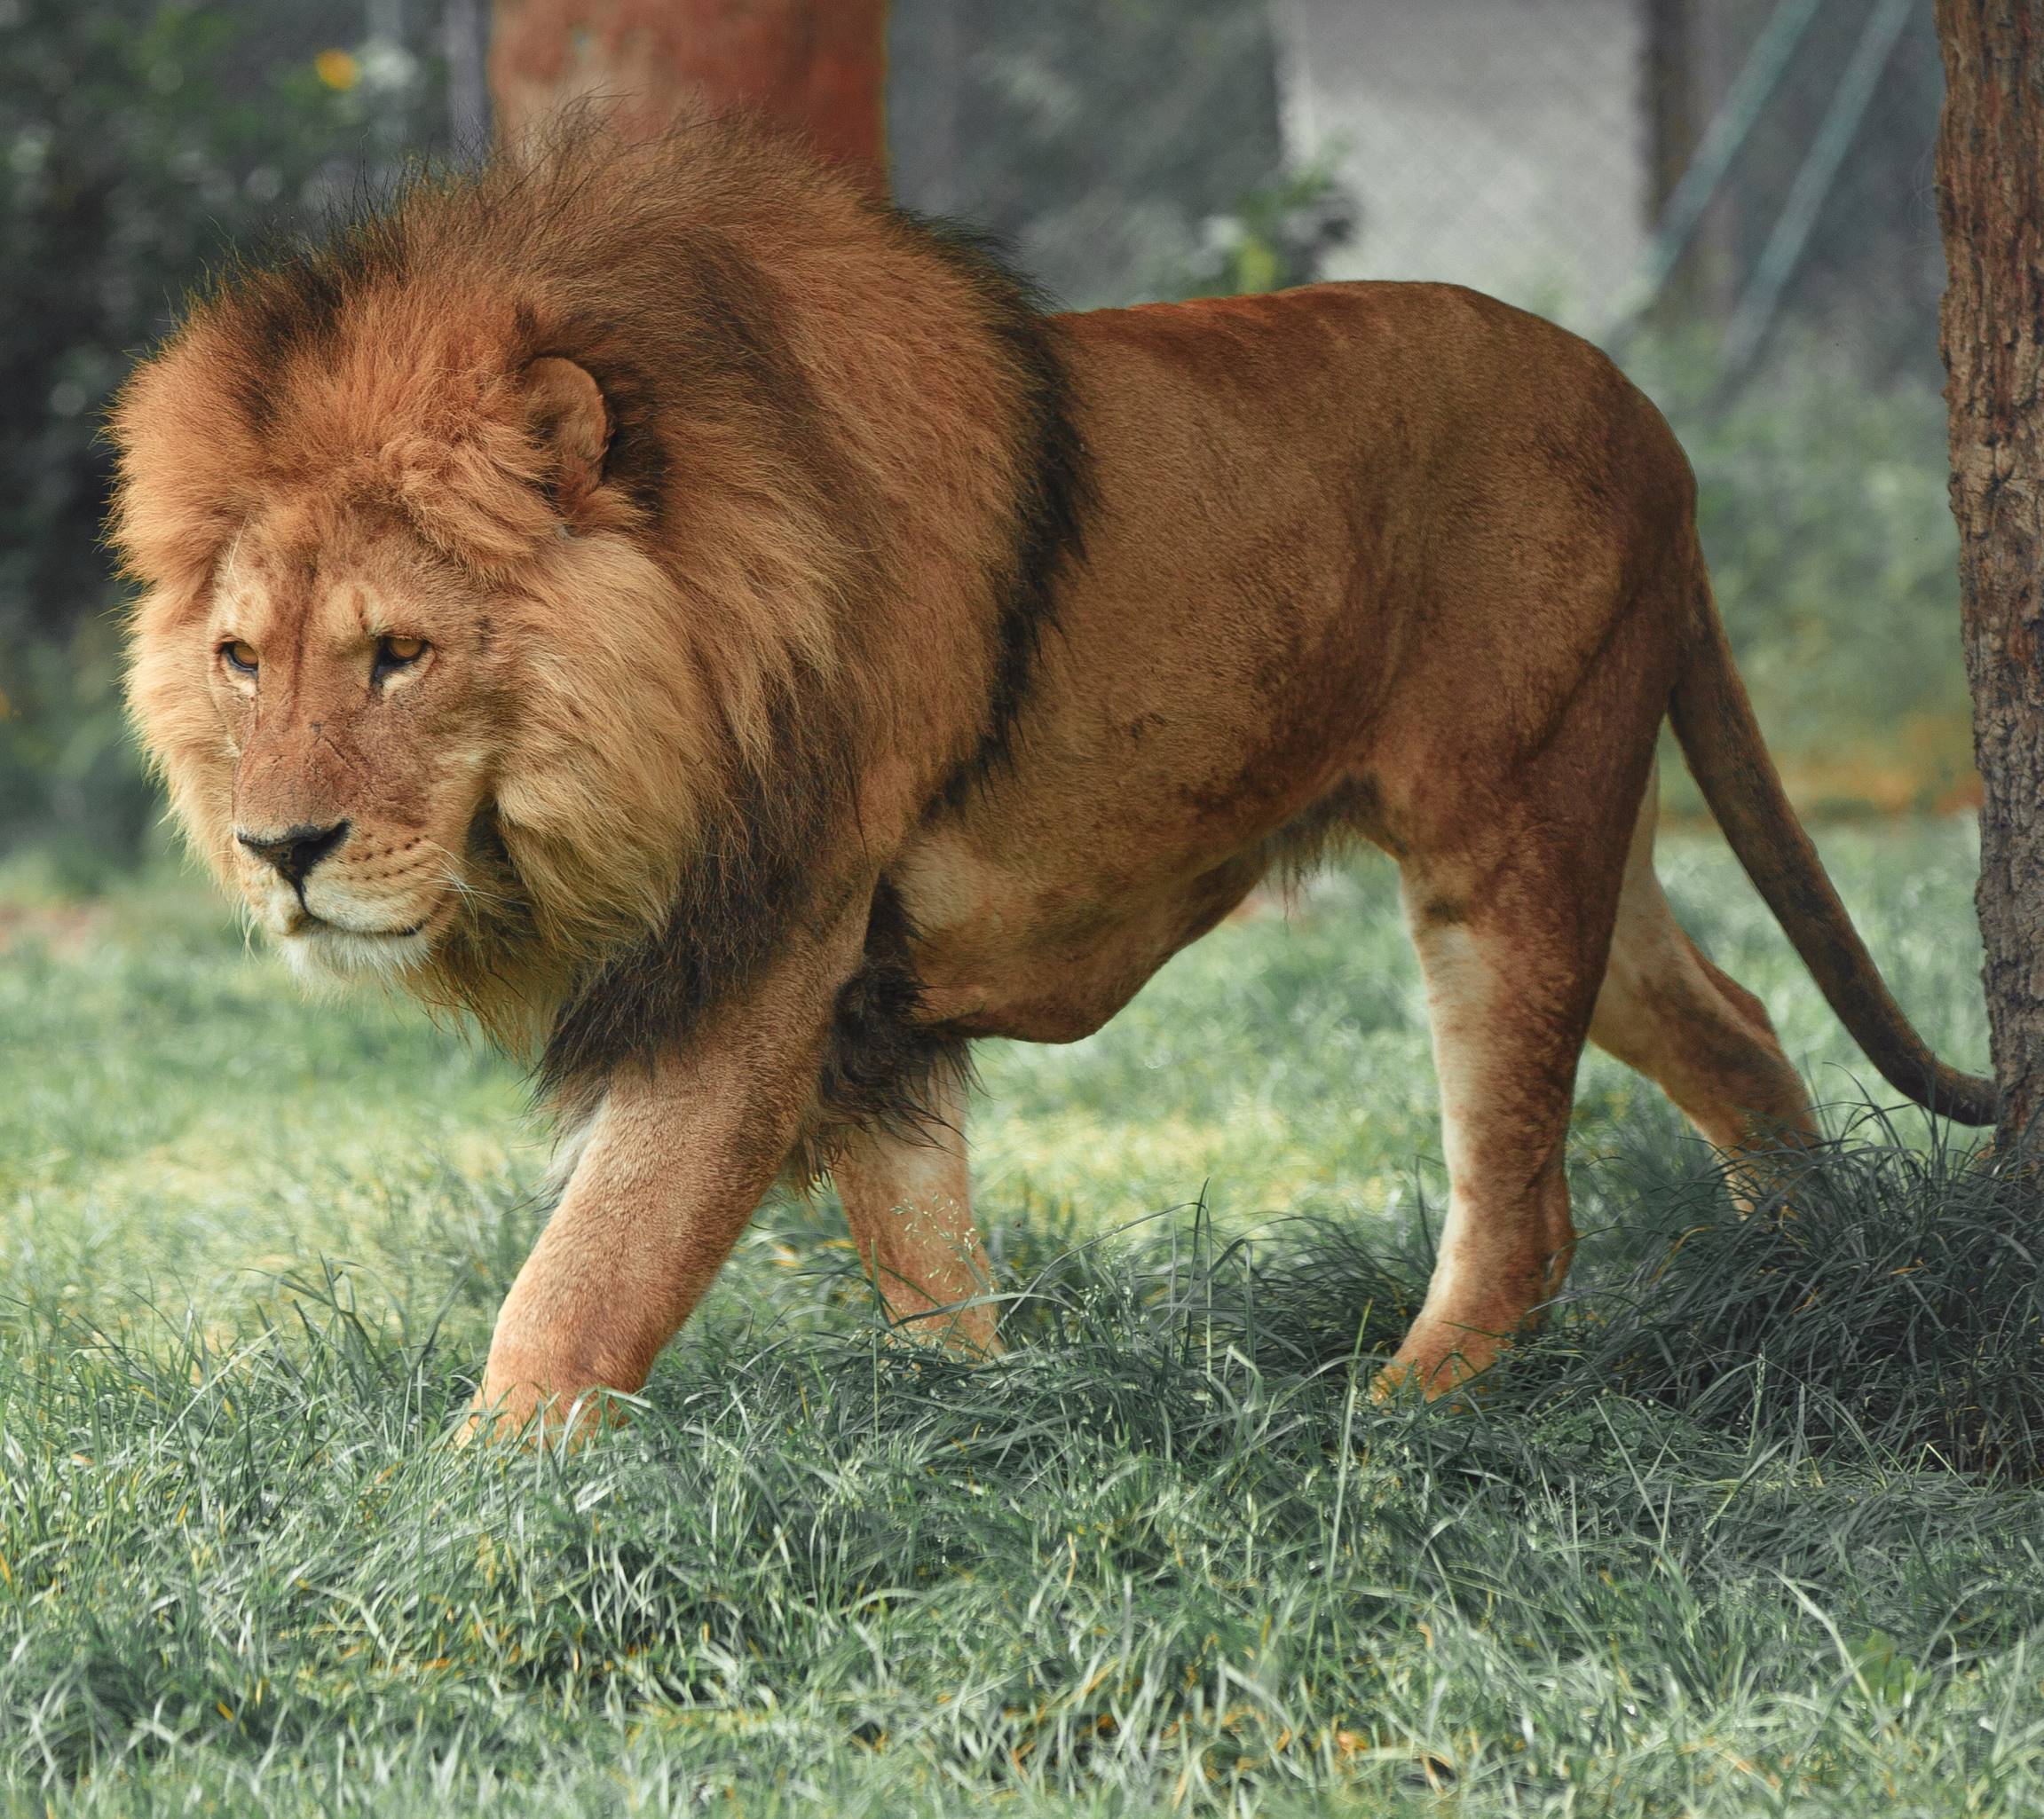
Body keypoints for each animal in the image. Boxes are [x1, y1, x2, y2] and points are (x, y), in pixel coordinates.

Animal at [110, 116, 1992, 1431]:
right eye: (241, 660)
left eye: (398, 654)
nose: (280, 851)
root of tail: (1650, 420)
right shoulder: (858, 1007)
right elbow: (925, 1262)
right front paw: (993, 1431)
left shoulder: (762, 957)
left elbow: (588, 1278)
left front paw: (468, 1508)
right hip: (1575, 817)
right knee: (1731, 1022)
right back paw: (1804, 1277)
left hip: (1507, 832)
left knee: (1523, 1206)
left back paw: (1389, 1423)